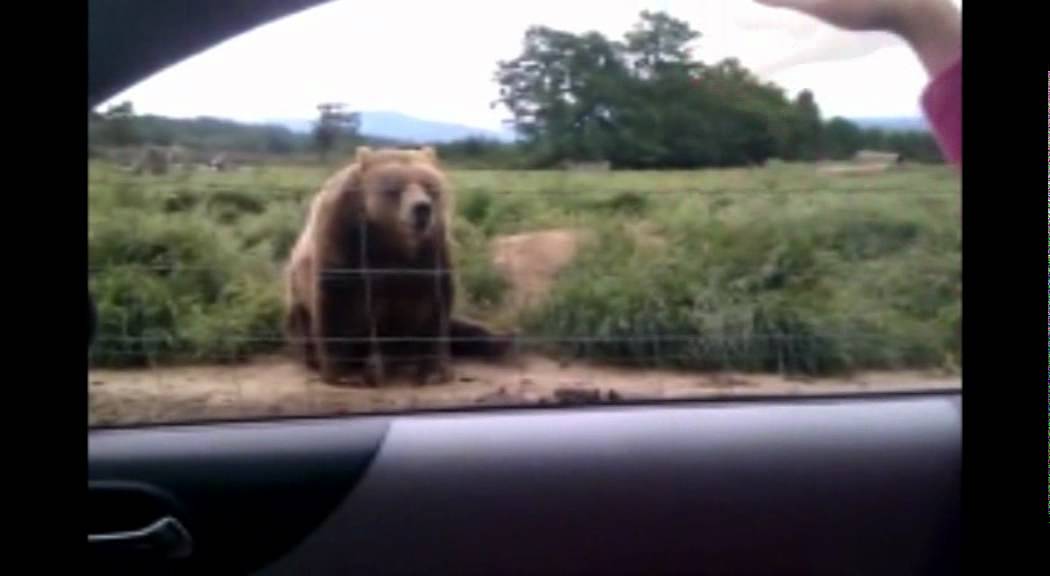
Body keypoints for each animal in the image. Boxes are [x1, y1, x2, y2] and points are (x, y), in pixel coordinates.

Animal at [284, 146, 513, 386]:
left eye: (430, 186)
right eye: (395, 188)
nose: (421, 208)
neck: (392, 240)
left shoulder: (430, 251)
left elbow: (434, 306)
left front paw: (433, 372)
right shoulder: (344, 242)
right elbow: (339, 304)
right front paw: (345, 374)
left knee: (463, 327)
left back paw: (503, 341)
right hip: (297, 302)